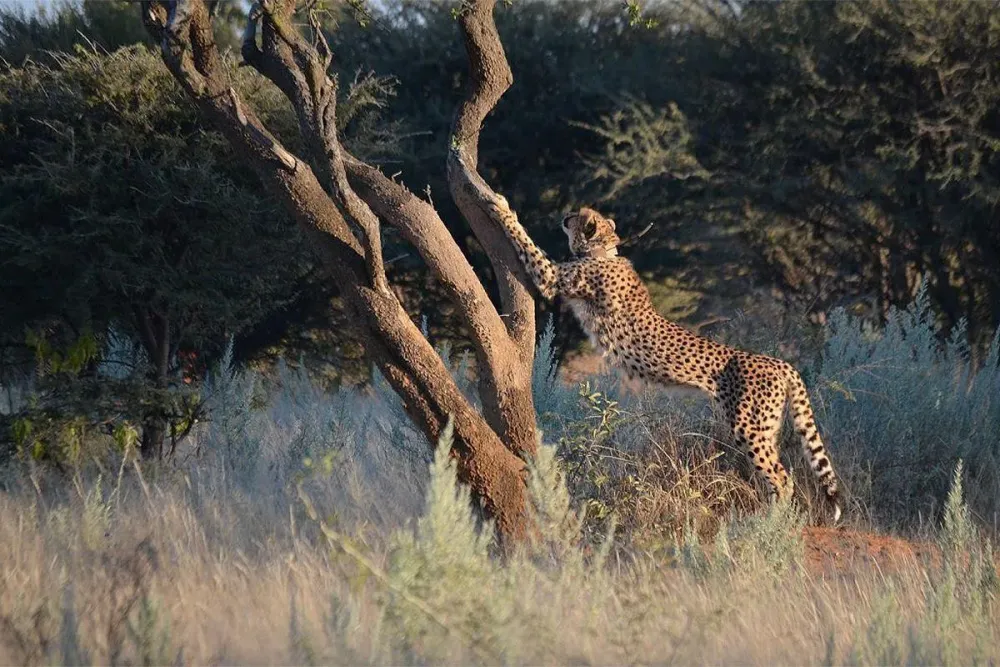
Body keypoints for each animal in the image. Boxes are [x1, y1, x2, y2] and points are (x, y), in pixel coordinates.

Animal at [489, 198, 842, 522]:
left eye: (580, 215)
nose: (567, 214)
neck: (601, 251)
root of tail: (780, 363)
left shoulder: (552, 278)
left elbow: (528, 244)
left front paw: (500, 206)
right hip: (768, 427)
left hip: (748, 426)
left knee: (781, 478)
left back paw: (768, 523)